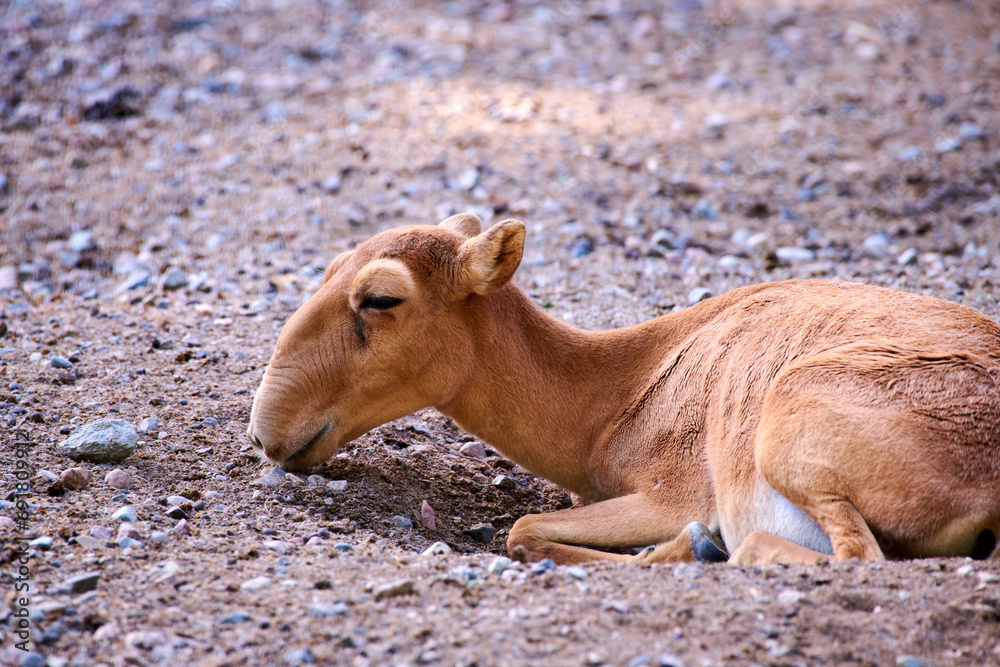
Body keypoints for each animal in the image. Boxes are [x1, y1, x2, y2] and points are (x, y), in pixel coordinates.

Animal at [247, 214, 1000, 566]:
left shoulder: (673, 497)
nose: (266, 431)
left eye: (381, 297)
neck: (619, 389)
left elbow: (523, 527)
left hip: (789, 438)